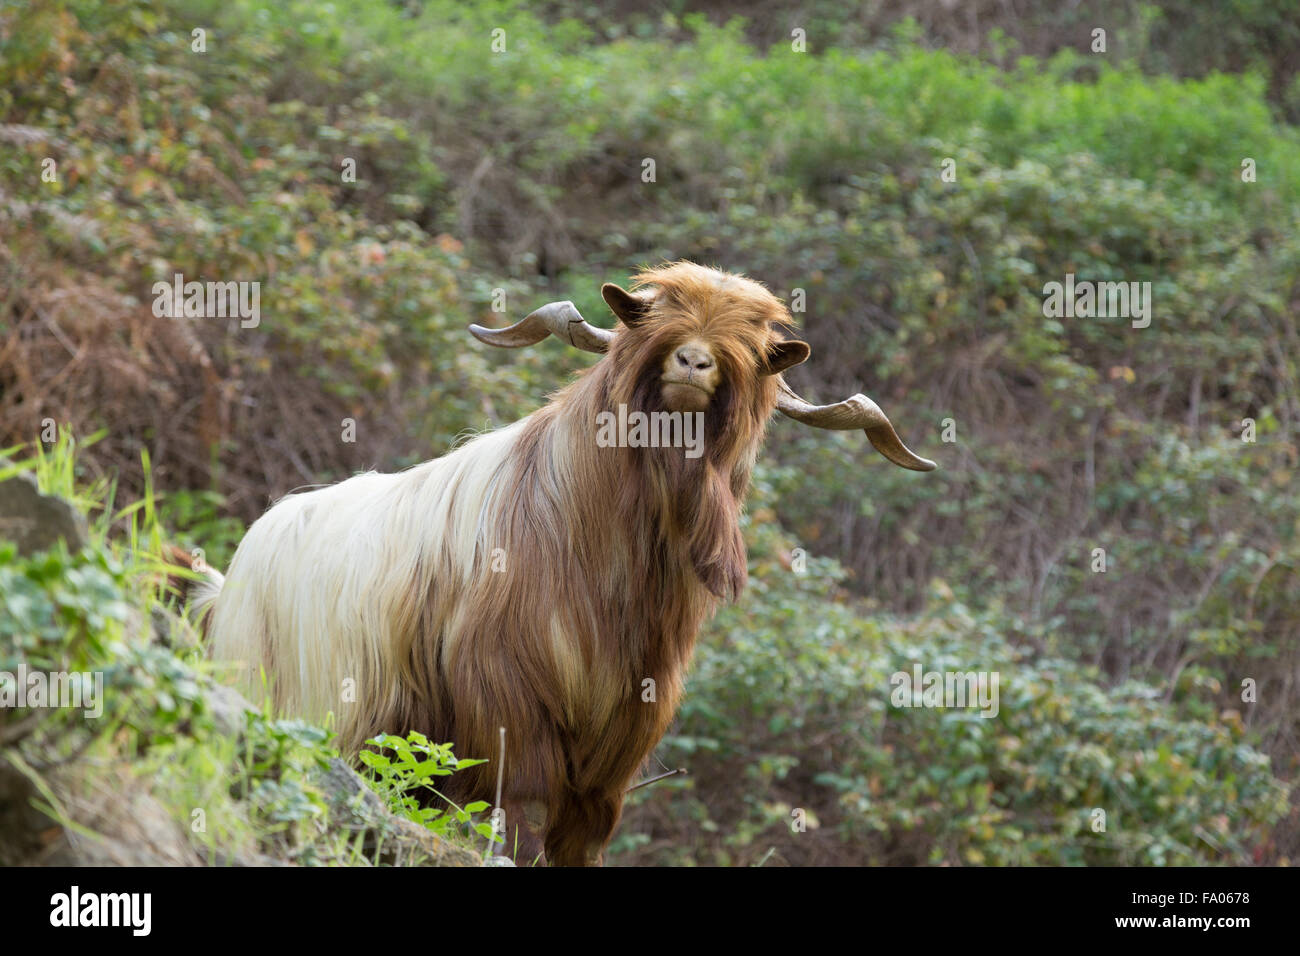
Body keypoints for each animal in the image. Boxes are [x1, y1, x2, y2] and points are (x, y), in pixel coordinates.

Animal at [193, 261, 934, 865]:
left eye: (756, 347)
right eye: (648, 316)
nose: (694, 362)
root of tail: (231, 579)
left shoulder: (621, 740)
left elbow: (585, 836)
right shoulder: (510, 706)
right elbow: (521, 819)